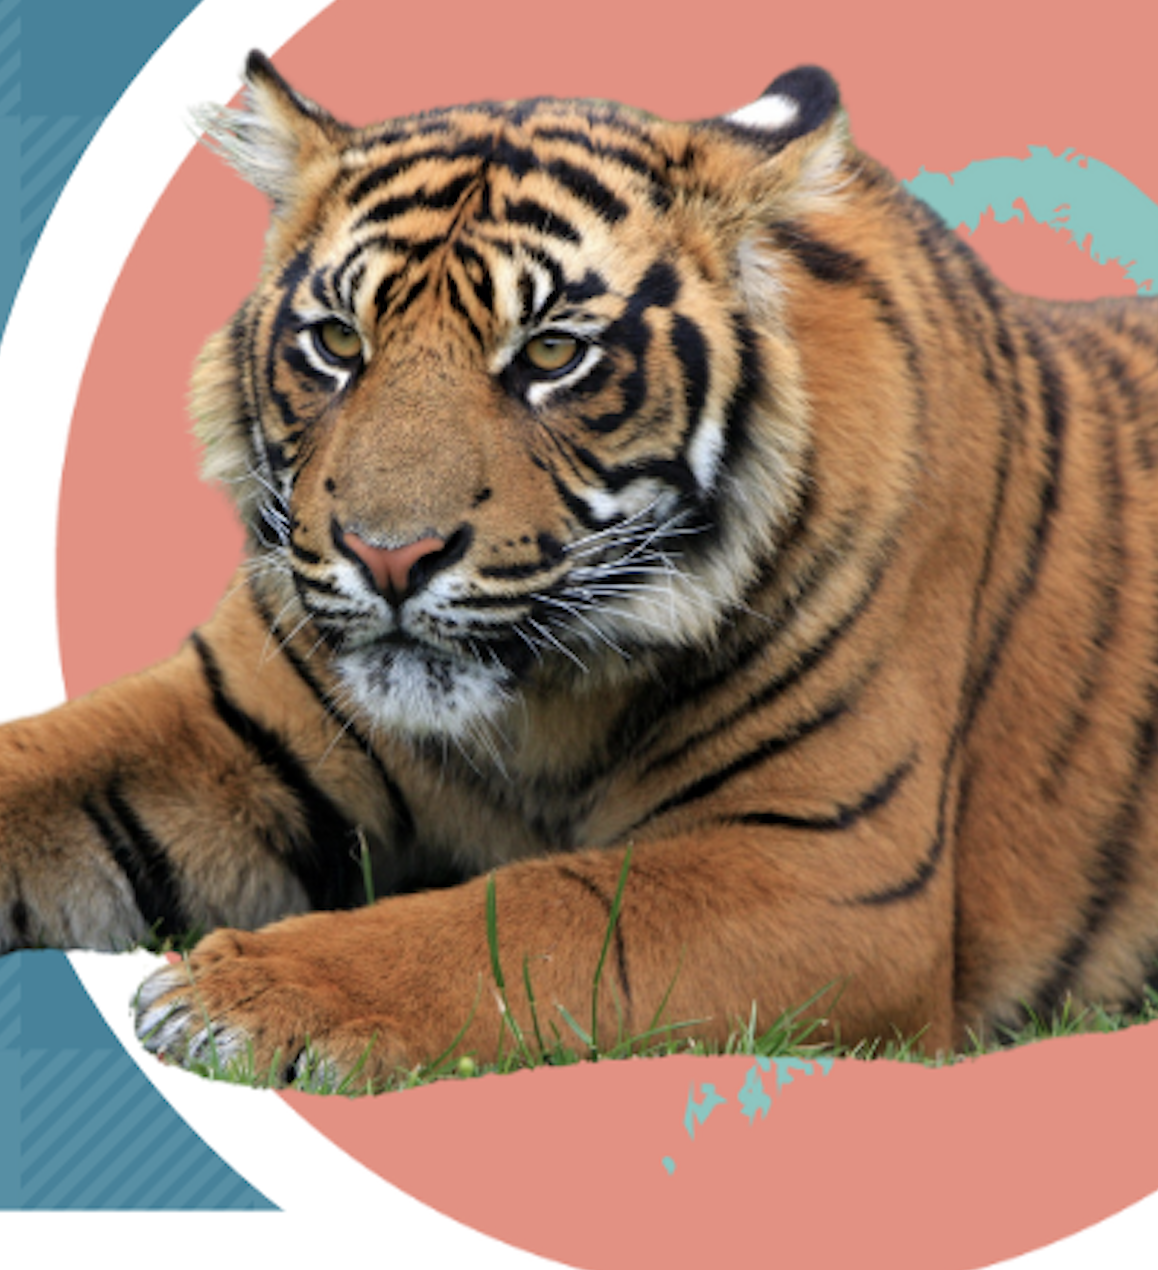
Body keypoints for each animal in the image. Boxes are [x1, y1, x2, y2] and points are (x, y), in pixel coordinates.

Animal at [1, 49, 1156, 1085]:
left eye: (552, 354)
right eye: (337, 342)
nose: (388, 556)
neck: (533, 708)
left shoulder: (828, 868)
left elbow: (534, 911)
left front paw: (243, 992)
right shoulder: (226, 718)